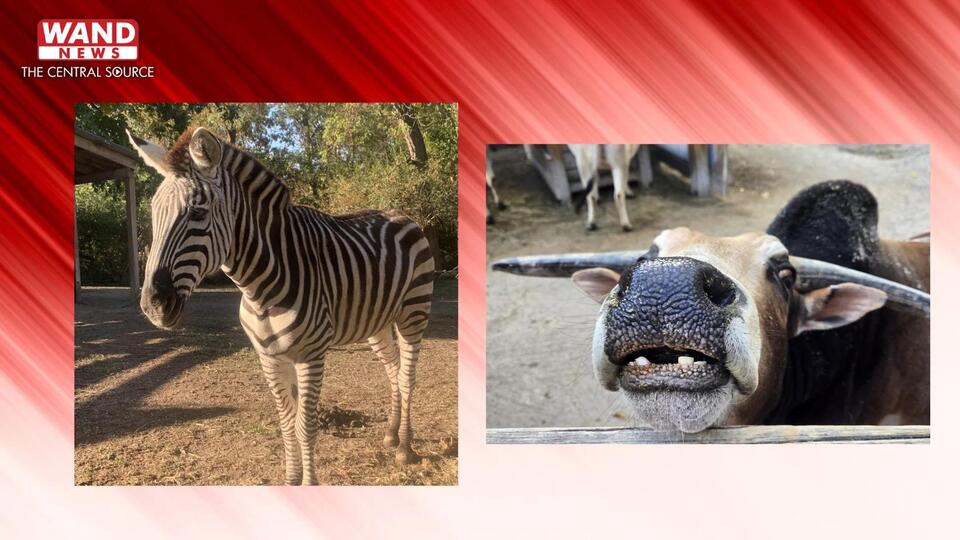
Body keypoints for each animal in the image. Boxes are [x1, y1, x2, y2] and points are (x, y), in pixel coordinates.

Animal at [128, 126, 435, 485]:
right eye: (153, 213)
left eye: (198, 213)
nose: (153, 305)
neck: (260, 288)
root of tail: (399, 214)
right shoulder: (269, 358)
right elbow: (287, 426)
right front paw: (291, 480)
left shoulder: (311, 356)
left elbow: (305, 427)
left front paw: (309, 482)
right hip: (377, 321)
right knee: (393, 371)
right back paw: (391, 435)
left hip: (414, 312)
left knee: (407, 377)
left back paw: (405, 448)